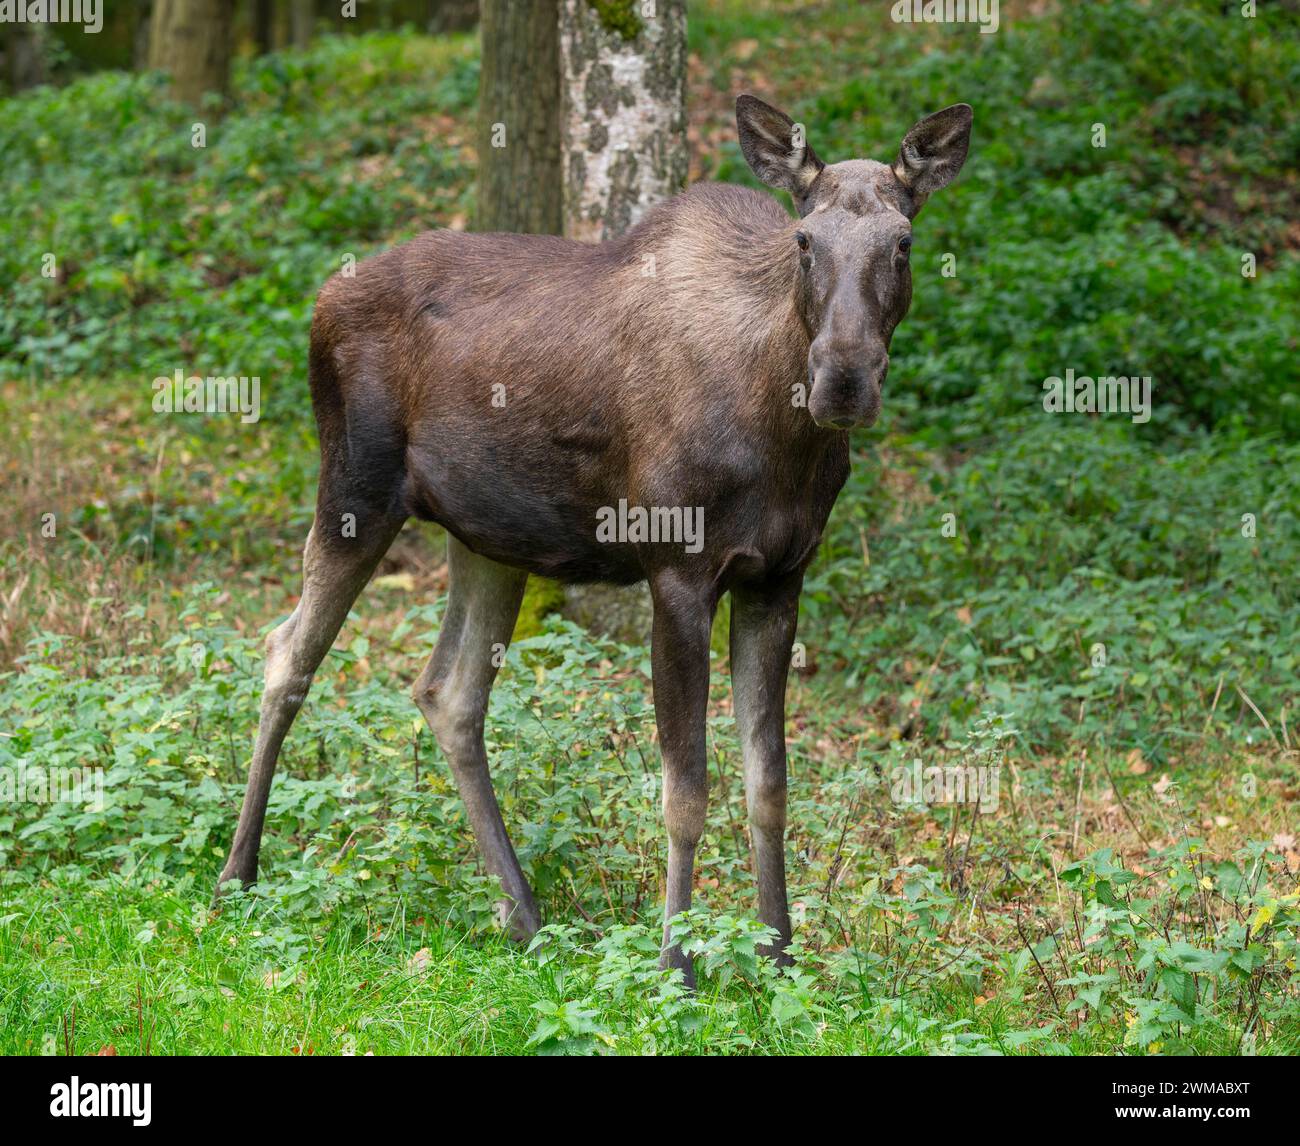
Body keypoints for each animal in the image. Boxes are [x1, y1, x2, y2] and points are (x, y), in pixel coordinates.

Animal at [215, 94, 972, 985]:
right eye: (805, 240)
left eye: (904, 242)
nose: (843, 378)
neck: (784, 439)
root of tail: (321, 301)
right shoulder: (676, 571)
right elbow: (686, 791)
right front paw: (676, 963)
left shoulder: (780, 577)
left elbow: (770, 783)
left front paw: (781, 958)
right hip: (354, 490)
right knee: (286, 652)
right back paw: (238, 873)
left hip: (487, 537)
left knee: (447, 692)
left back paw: (524, 913)